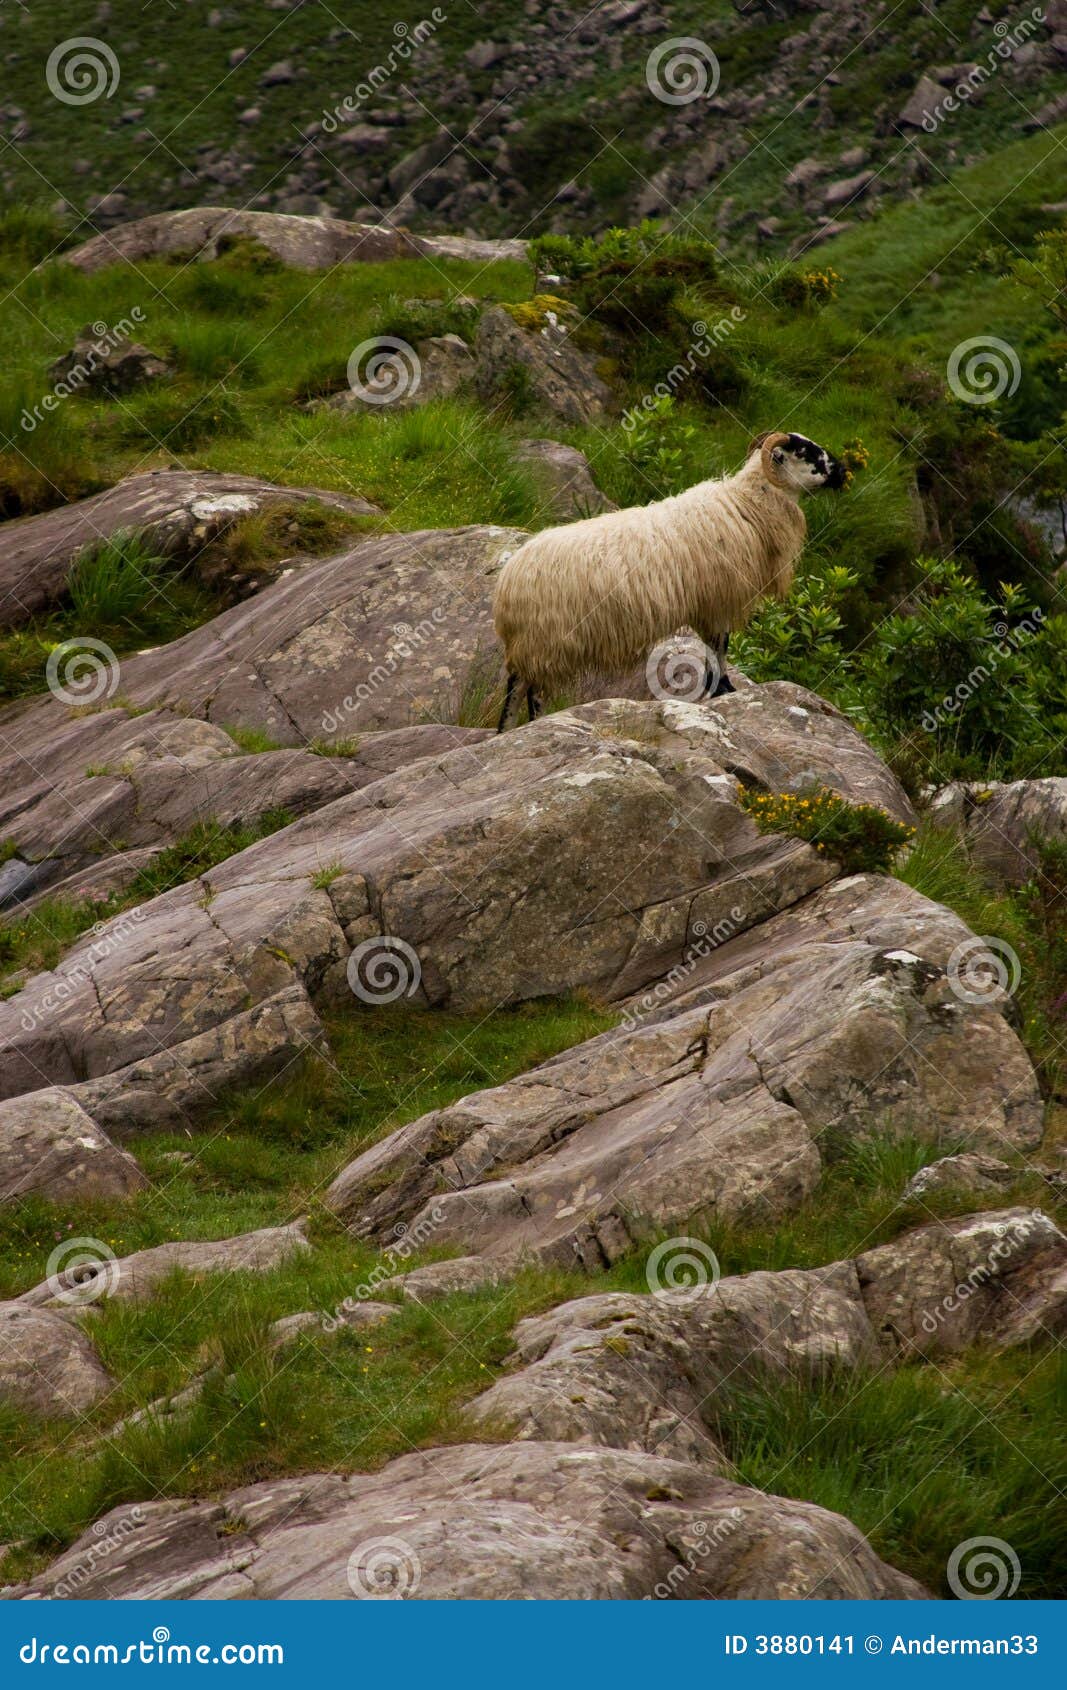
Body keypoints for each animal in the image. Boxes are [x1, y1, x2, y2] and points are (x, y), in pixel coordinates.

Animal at [493, 430, 846, 729]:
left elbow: (711, 648)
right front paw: (724, 689)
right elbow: (719, 648)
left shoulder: (704, 604)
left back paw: (506, 730)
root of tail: (509, 578)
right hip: (547, 642)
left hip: (532, 644)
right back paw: (536, 722)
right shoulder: (717, 598)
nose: (843, 471)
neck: (745, 502)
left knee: (515, 687)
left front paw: (718, 688)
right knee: (533, 691)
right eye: (806, 451)